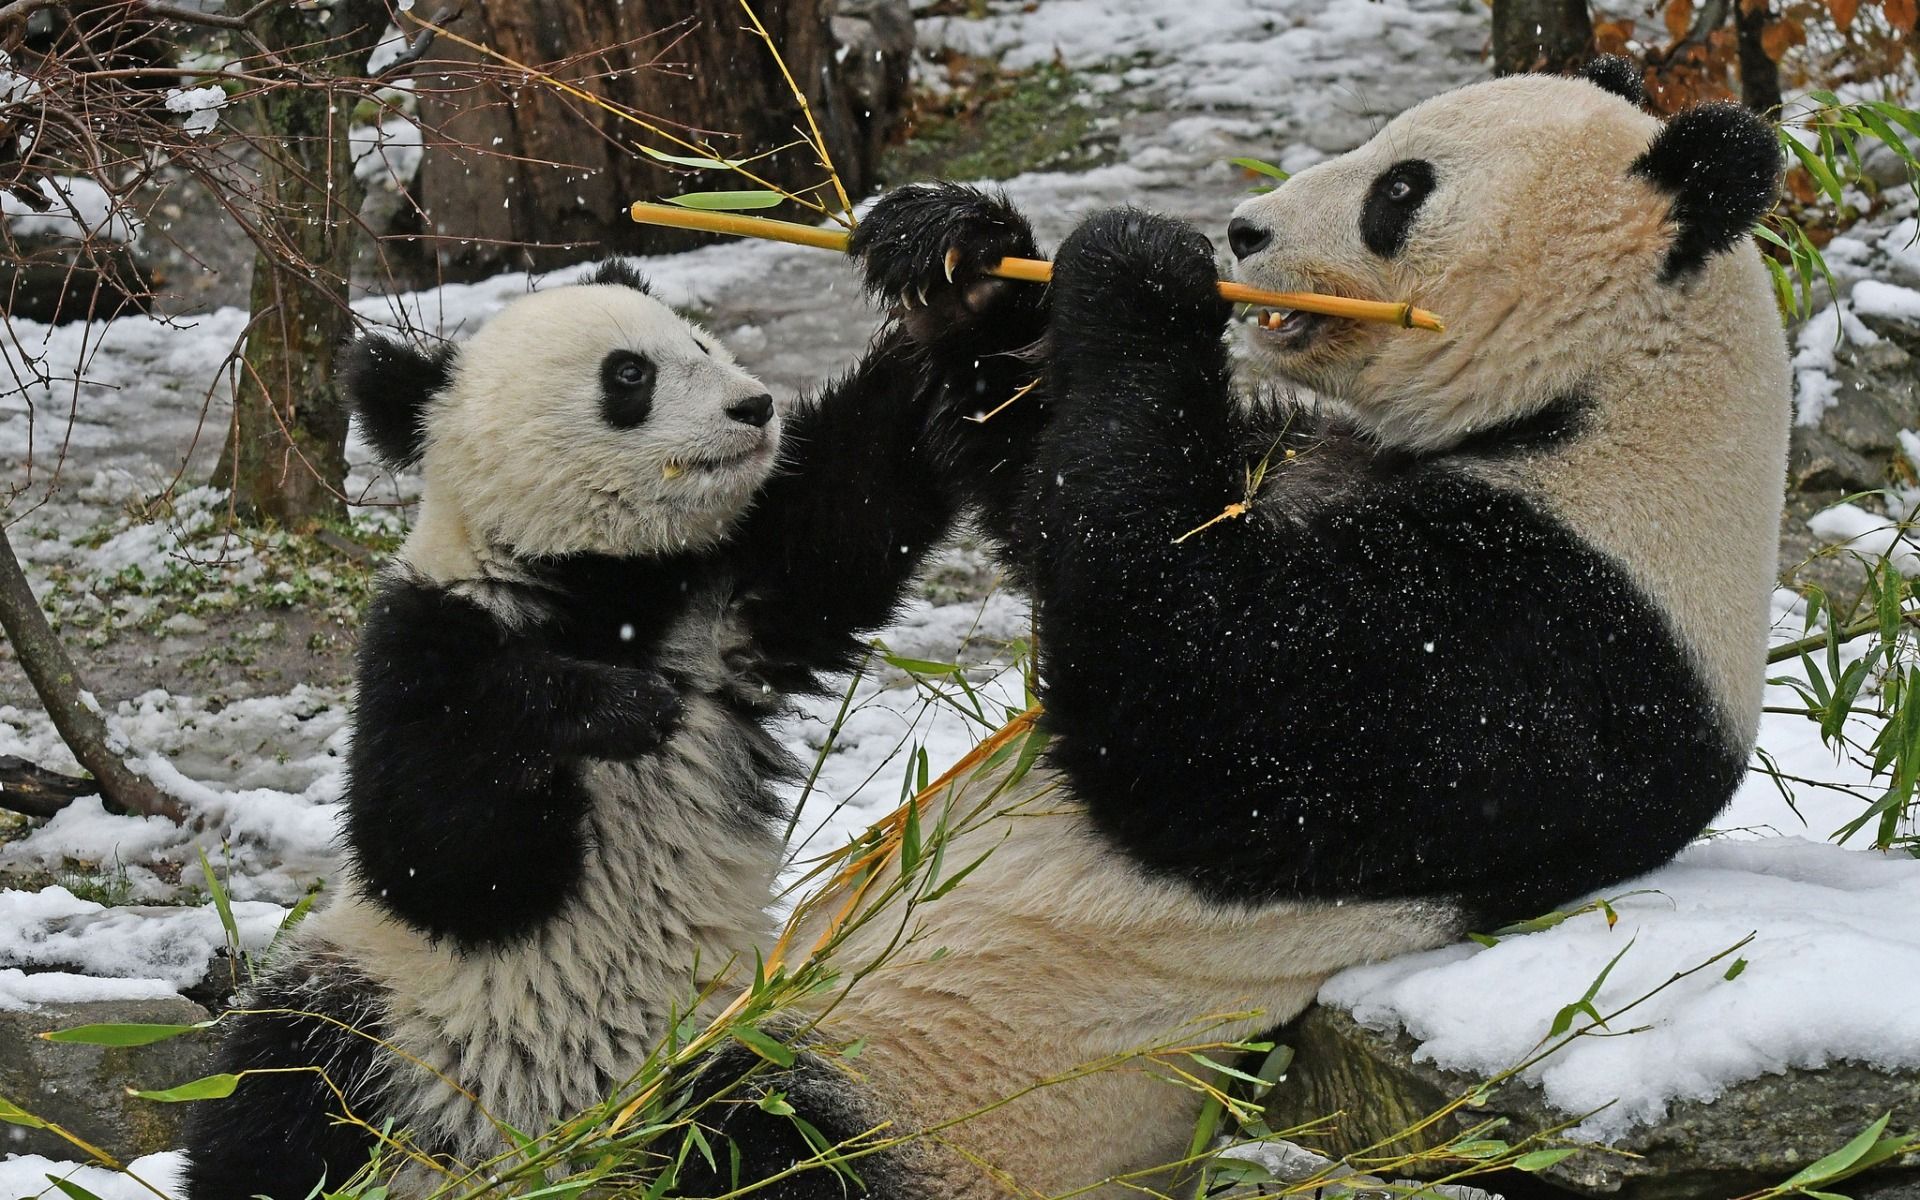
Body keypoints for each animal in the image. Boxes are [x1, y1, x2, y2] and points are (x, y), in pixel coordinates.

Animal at [177, 261, 987, 1199]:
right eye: (629, 375)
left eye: (699, 341)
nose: (754, 407)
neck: (601, 588)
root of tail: (542, 1157)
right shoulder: (423, 640)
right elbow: (437, 847)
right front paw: (609, 708)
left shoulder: (728, 603)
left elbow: (852, 509)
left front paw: (955, 285)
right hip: (380, 1014)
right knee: (274, 1099)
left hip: (730, 1043)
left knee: (785, 1139)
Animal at [676, 63, 1792, 1196]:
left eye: (1400, 188)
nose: (1245, 231)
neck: (1606, 403)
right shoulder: (1307, 458)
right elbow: (1058, 478)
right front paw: (963, 253)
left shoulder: (1553, 633)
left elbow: (1204, 706)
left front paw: (1141, 268)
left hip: (928, 1107)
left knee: (760, 1140)